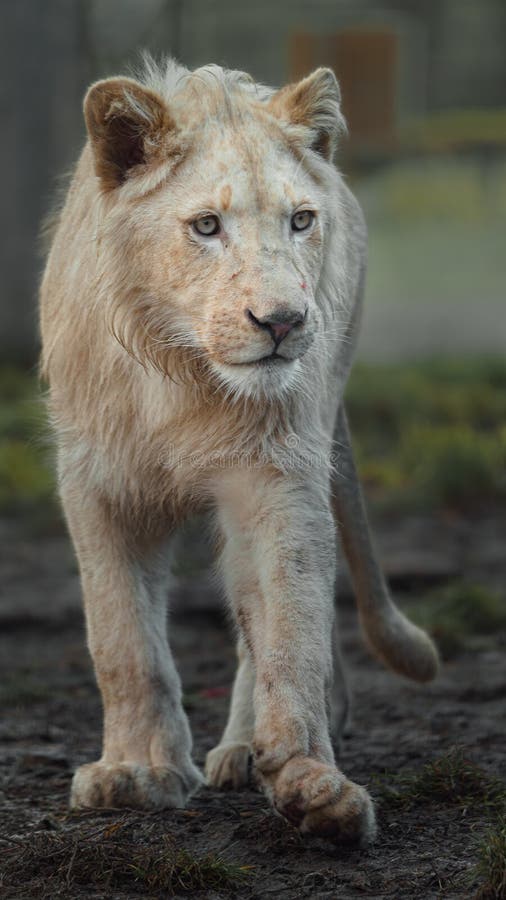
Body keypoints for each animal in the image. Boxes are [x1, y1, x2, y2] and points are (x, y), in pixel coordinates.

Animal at [39, 56, 438, 844]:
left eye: (301, 220)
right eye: (206, 226)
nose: (281, 321)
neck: (181, 370)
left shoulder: (275, 476)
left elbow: (289, 630)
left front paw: (312, 783)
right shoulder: (99, 485)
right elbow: (122, 642)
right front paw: (135, 774)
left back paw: (245, 752)